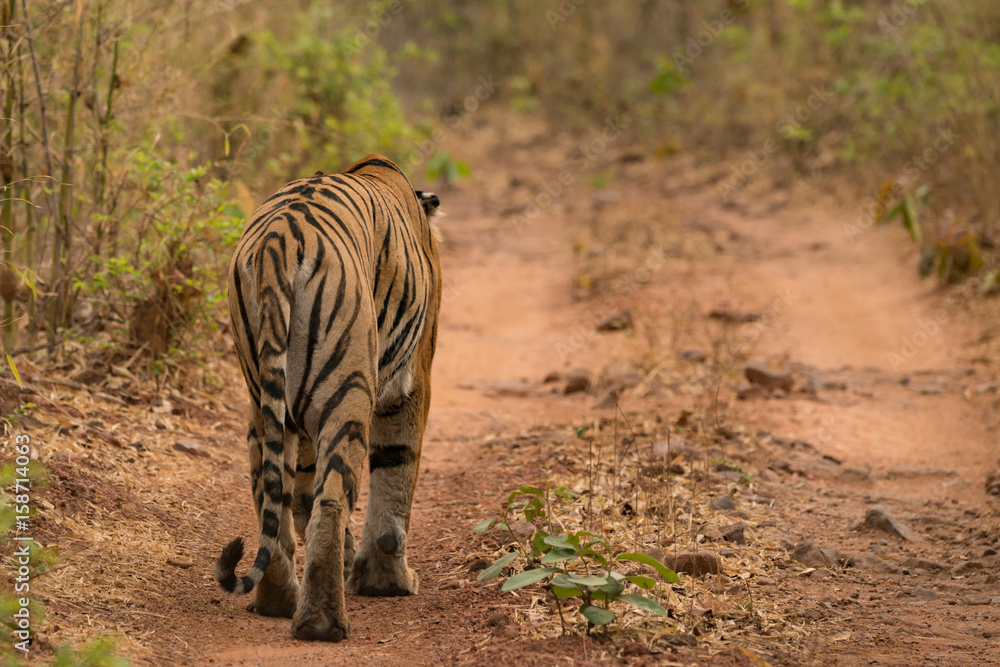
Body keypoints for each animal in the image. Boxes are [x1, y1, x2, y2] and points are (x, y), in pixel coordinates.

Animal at [215, 154, 442, 642]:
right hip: (349, 391)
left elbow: (300, 494)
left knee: (273, 500)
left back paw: (279, 601)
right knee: (332, 503)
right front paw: (387, 582)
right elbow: (397, 474)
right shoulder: (413, 382)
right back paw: (322, 623)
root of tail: (278, 240)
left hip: (263, 401)